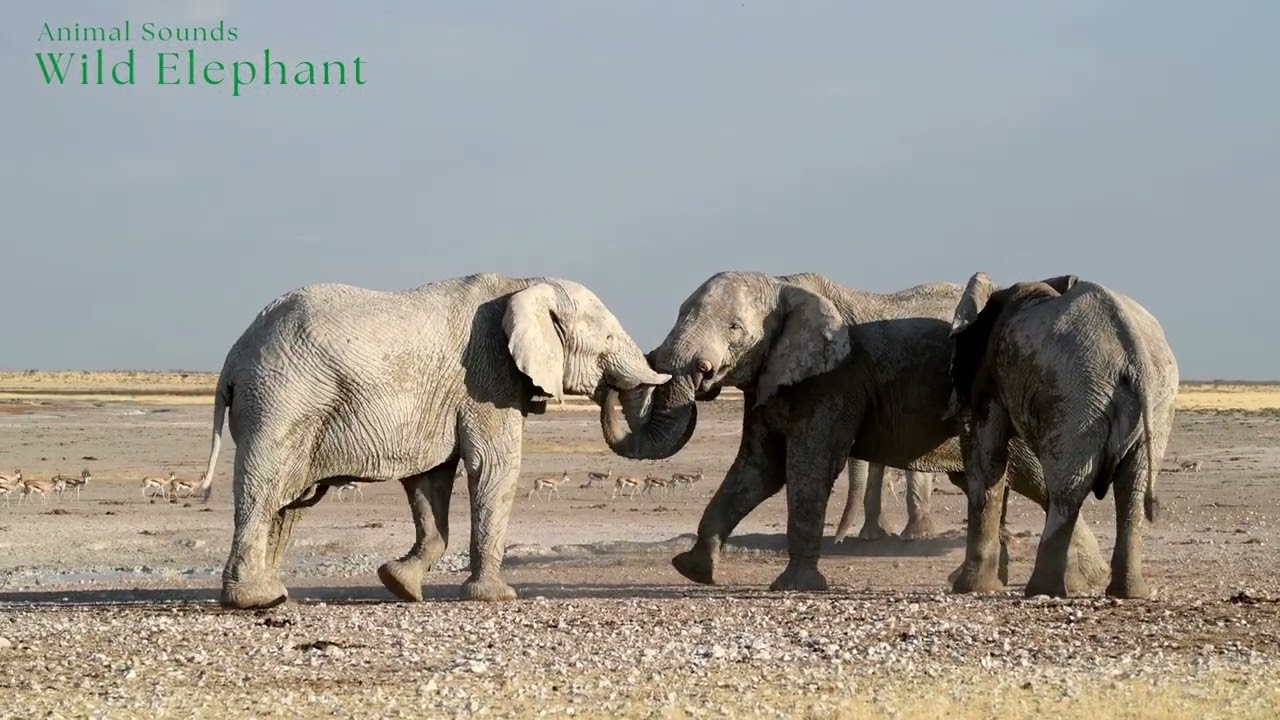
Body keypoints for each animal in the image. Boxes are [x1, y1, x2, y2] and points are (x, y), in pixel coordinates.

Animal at [195, 273, 671, 610]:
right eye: (607, 340)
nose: (608, 391)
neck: (524, 282)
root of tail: (231, 362)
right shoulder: (486, 377)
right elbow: (493, 468)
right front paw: (495, 597)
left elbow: (430, 480)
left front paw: (400, 584)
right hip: (281, 401)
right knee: (265, 490)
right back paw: (253, 600)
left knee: (290, 499)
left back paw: (275, 594)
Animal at [599, 271, 1111, 594]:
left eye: (734, 328)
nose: (609, 380)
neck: (780, 283)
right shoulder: (772, 378)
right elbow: (756, 470)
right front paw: (693, 570)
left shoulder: (833, 380)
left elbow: (807, 468)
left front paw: (795, 588)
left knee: (1032, 475)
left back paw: (1083, 581)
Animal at [946, 272, 1178, 598]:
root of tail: (1135, 356)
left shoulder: (990, 375)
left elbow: (986, 459)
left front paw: (971, 589)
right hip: (1156, 400)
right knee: (1131, 487)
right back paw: (1127, 592)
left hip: (1076, 396)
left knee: (1068, 488)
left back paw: (1042, 590)